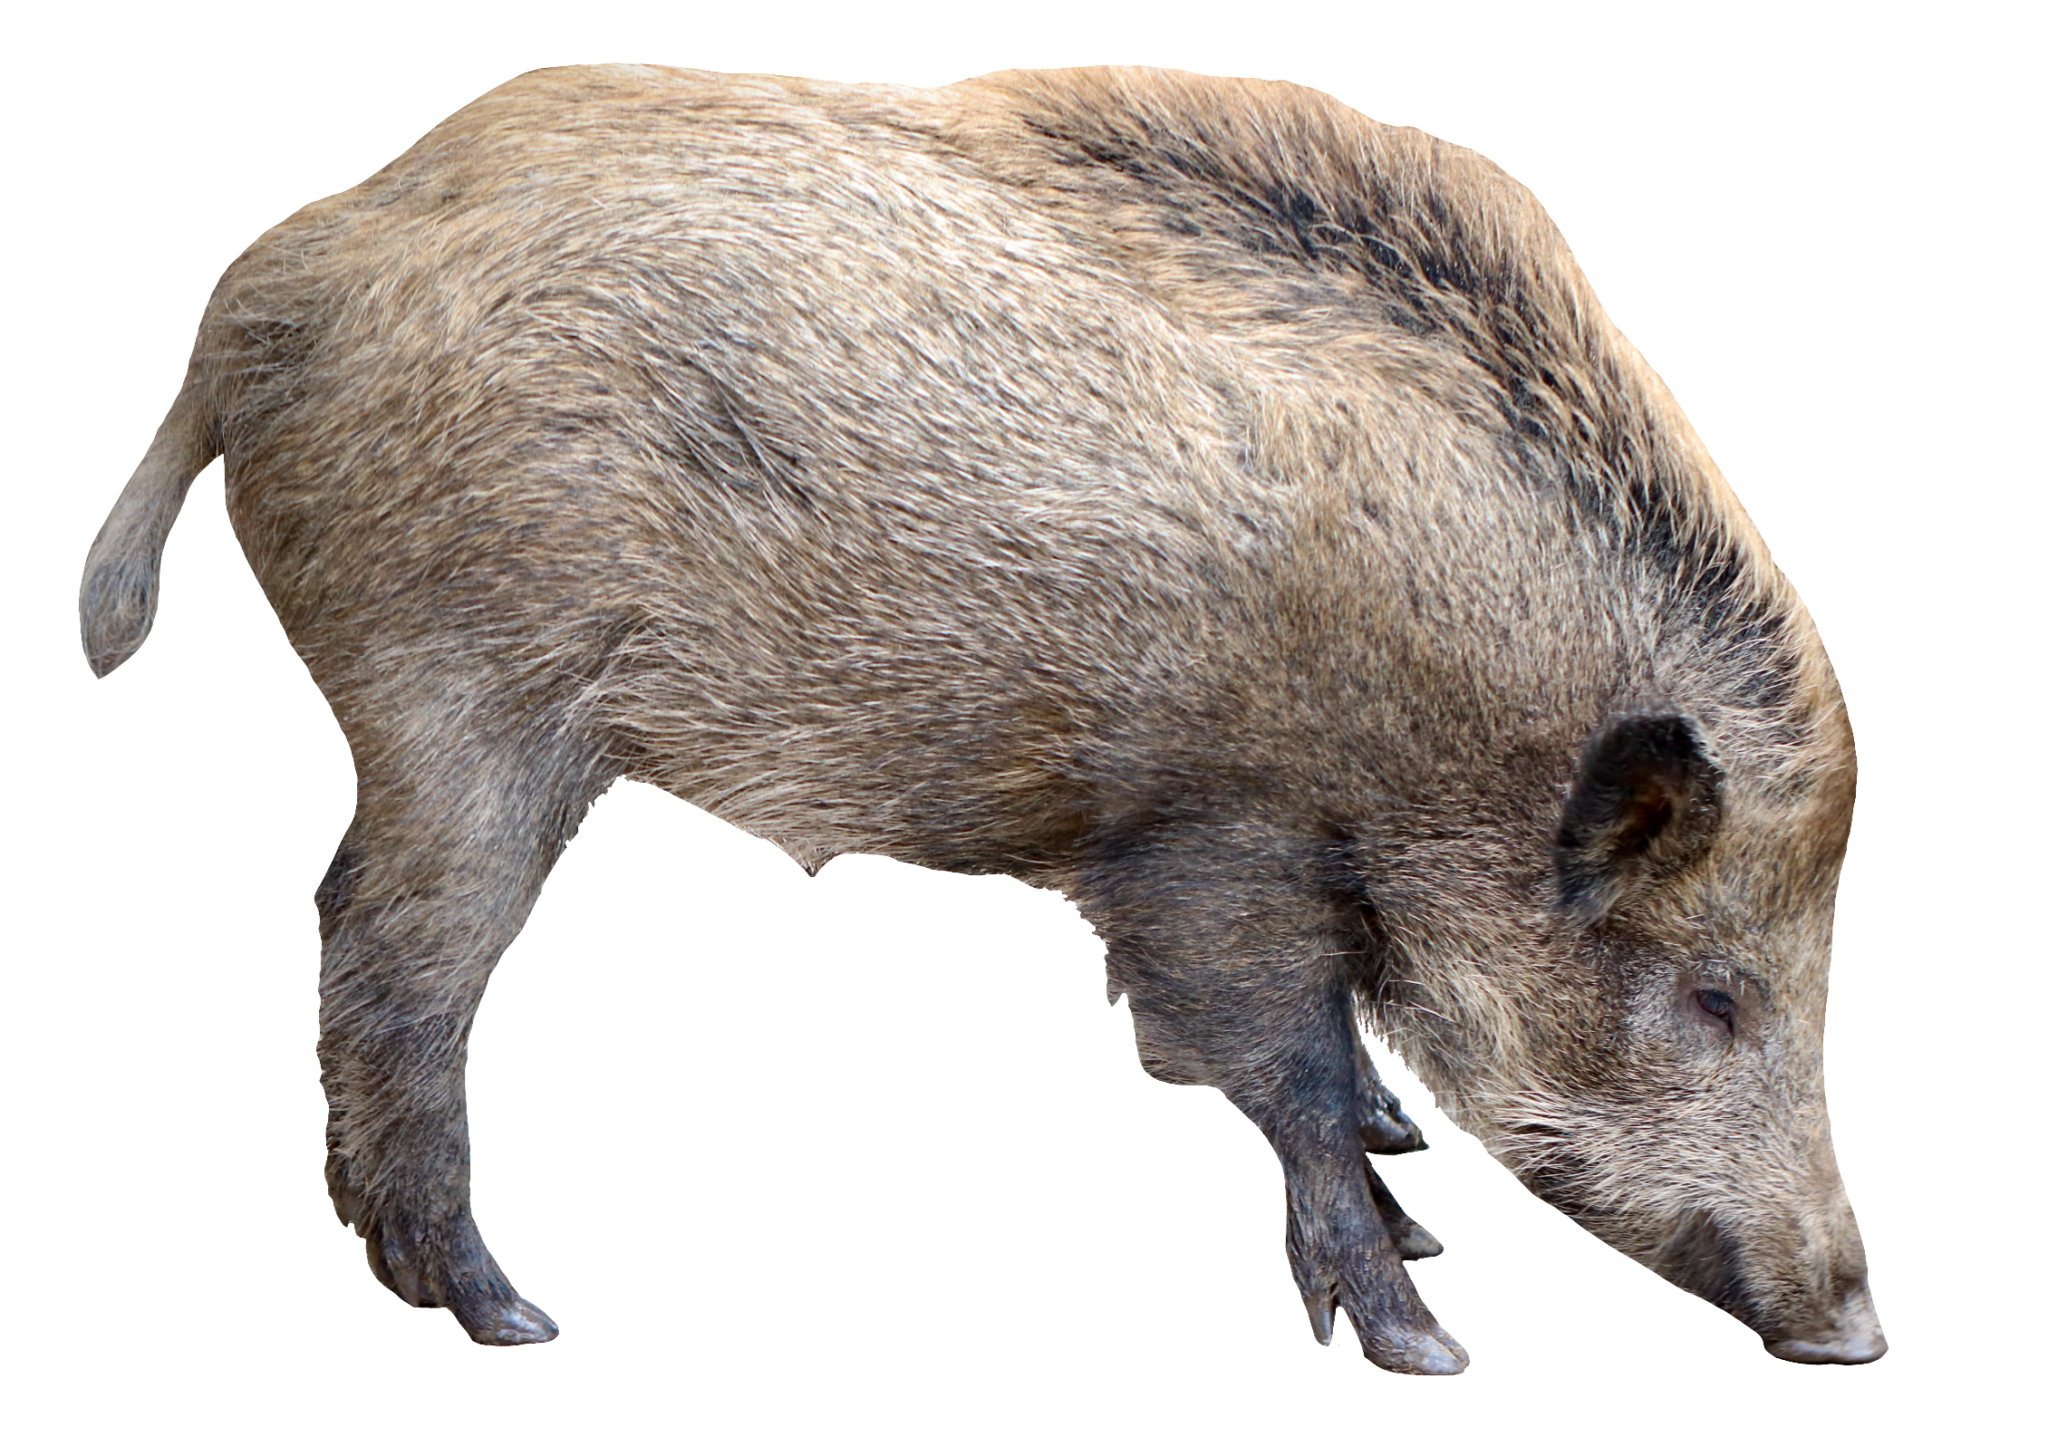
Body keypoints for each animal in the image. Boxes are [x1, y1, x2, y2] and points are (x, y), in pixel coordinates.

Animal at [77, 62, 1884, 1371]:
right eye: (1716, 992)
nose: (1858, 1333)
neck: (1444, 701)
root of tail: (263, 284)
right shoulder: (1195, 844)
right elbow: (1284, 1074)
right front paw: (1422, 1346)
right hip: (460, 701)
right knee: (387, 960)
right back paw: (509, 1316)